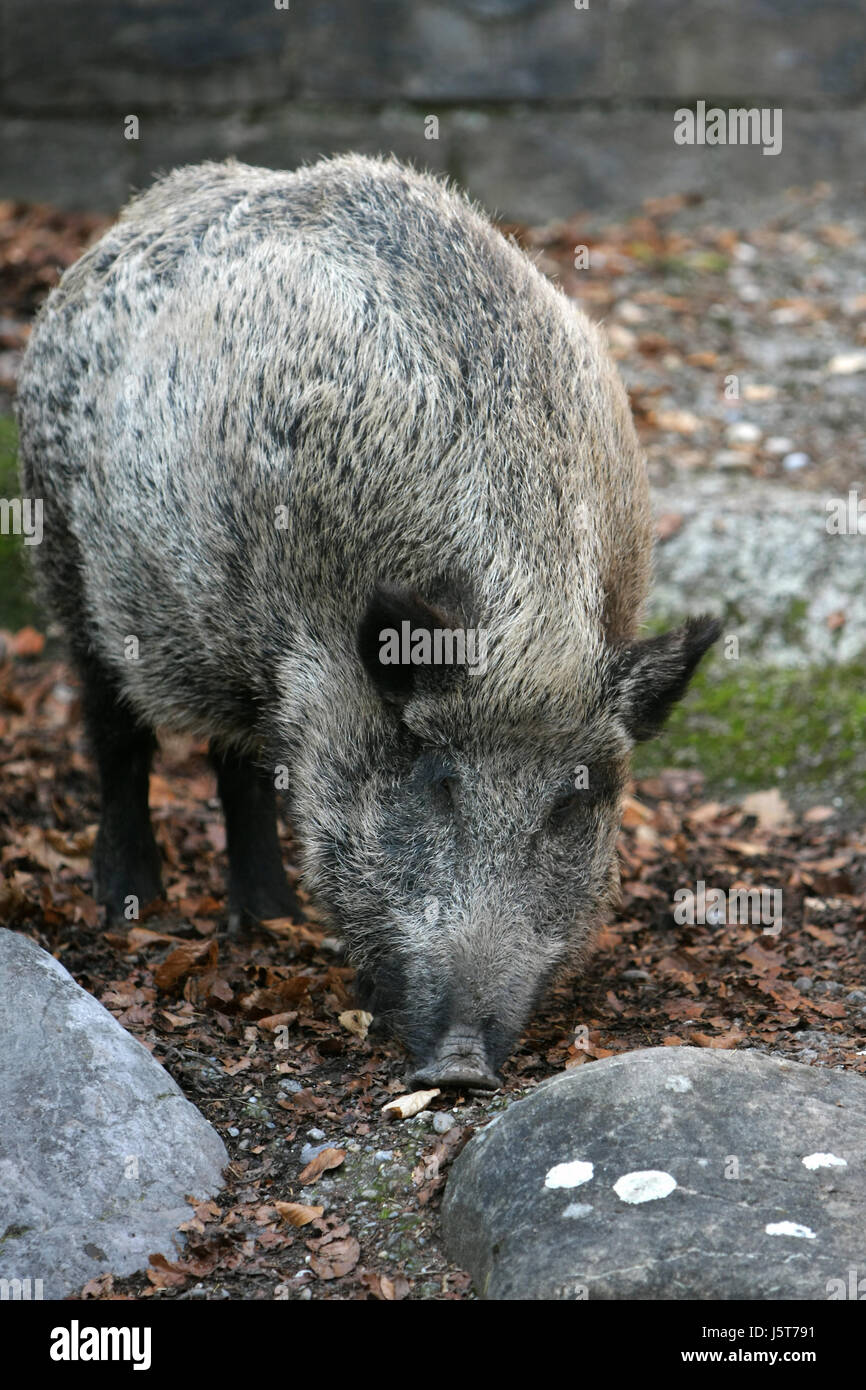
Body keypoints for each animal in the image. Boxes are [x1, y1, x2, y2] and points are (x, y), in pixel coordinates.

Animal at [16, 155, 719, 1088]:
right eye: (438, 781)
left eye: (575, 802)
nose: (460, 1066)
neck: (527, 626)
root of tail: (127, 221)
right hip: (69, 556)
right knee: (117, 727)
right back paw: (133, 903)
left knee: (236, 761)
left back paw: (266, 918)